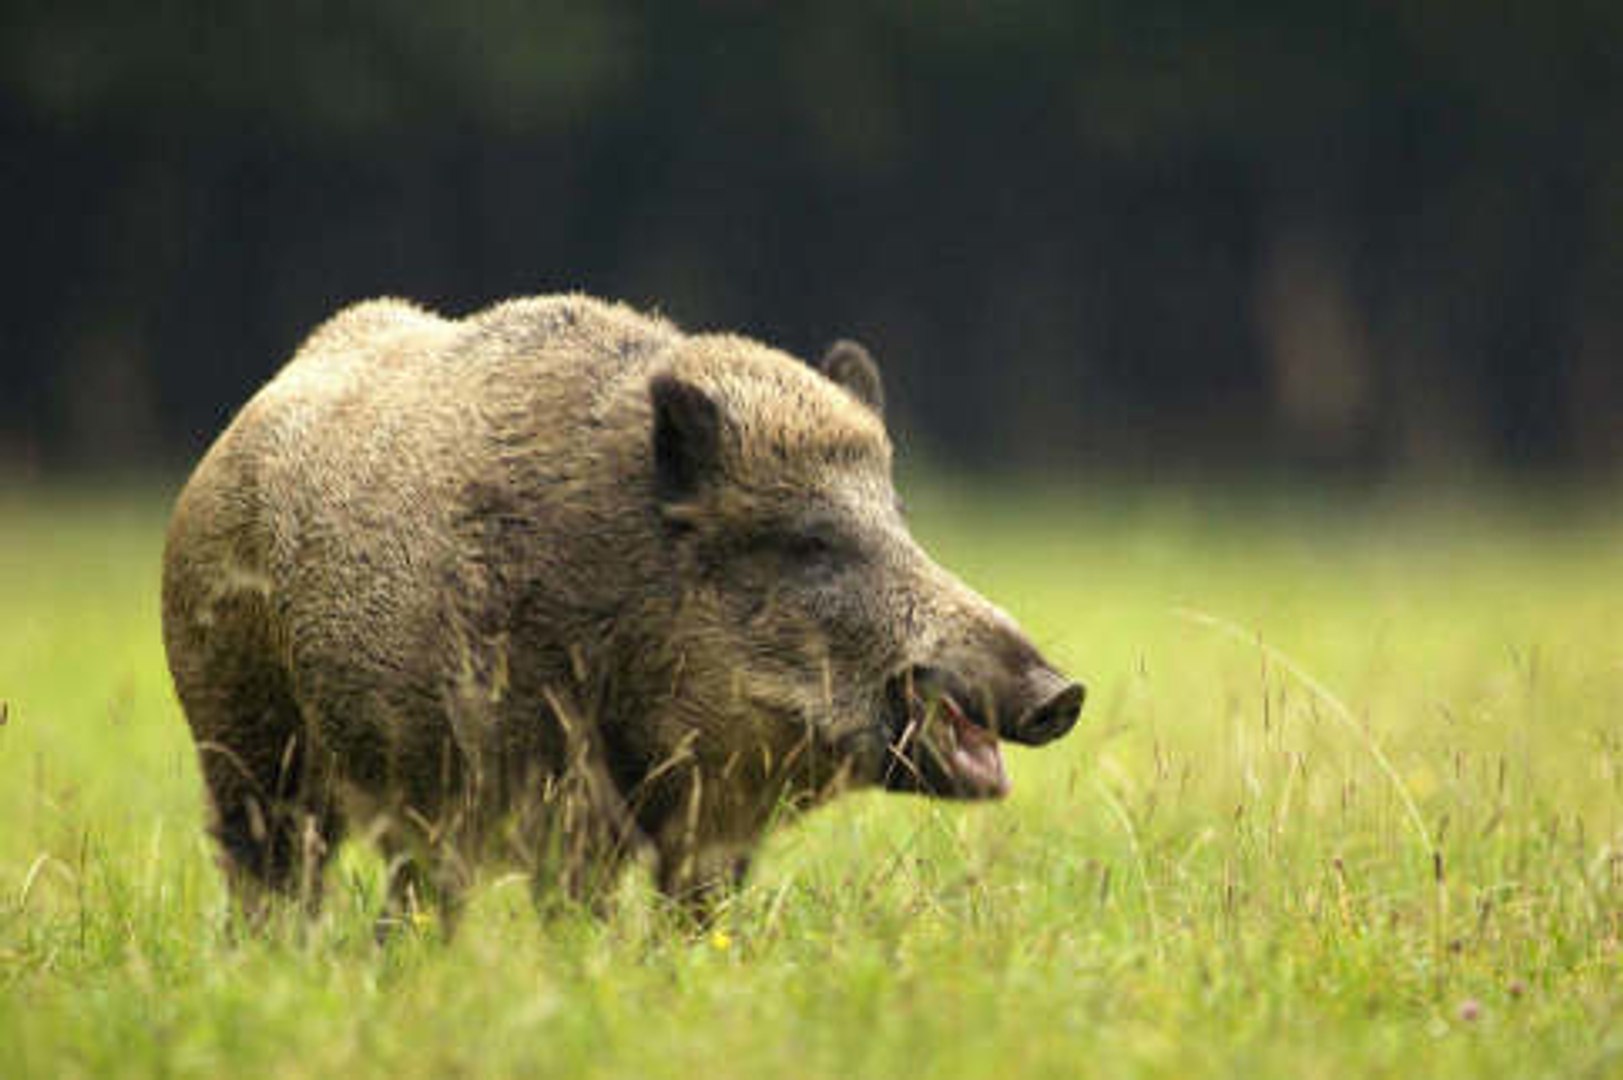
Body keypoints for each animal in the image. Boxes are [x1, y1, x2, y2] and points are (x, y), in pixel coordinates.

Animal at [160, 293, 1083, 927]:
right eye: (812, 541)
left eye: (898, 517)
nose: (1062, 693)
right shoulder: (553, 794)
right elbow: (581, 909)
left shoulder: (712, 832)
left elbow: (699, 918)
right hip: (241, 735)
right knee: (271, 870)